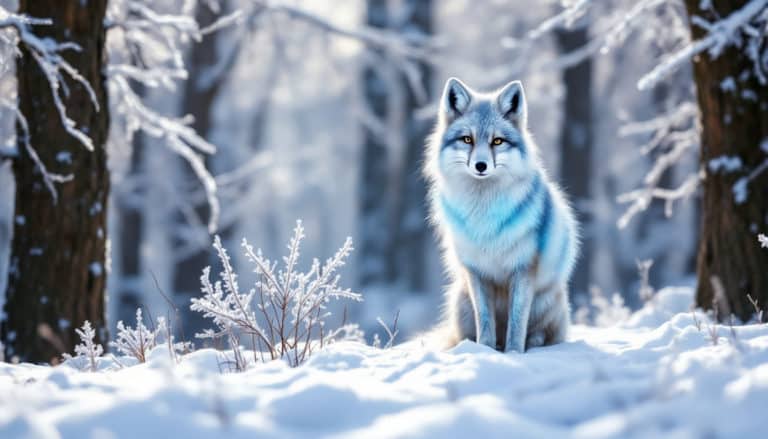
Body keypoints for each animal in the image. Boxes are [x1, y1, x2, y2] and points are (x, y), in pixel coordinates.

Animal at [422, 77, 579, 353]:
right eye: (467, 139)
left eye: (497, 141)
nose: (481, 166)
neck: (483, 213)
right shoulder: (477, 272)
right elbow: (485, 322)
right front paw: (484, 351)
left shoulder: (523, 268)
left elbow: (517, 323)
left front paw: (514, 352)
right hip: (460, 301)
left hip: (546, 303)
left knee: (542, 334)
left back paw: (532, 343)